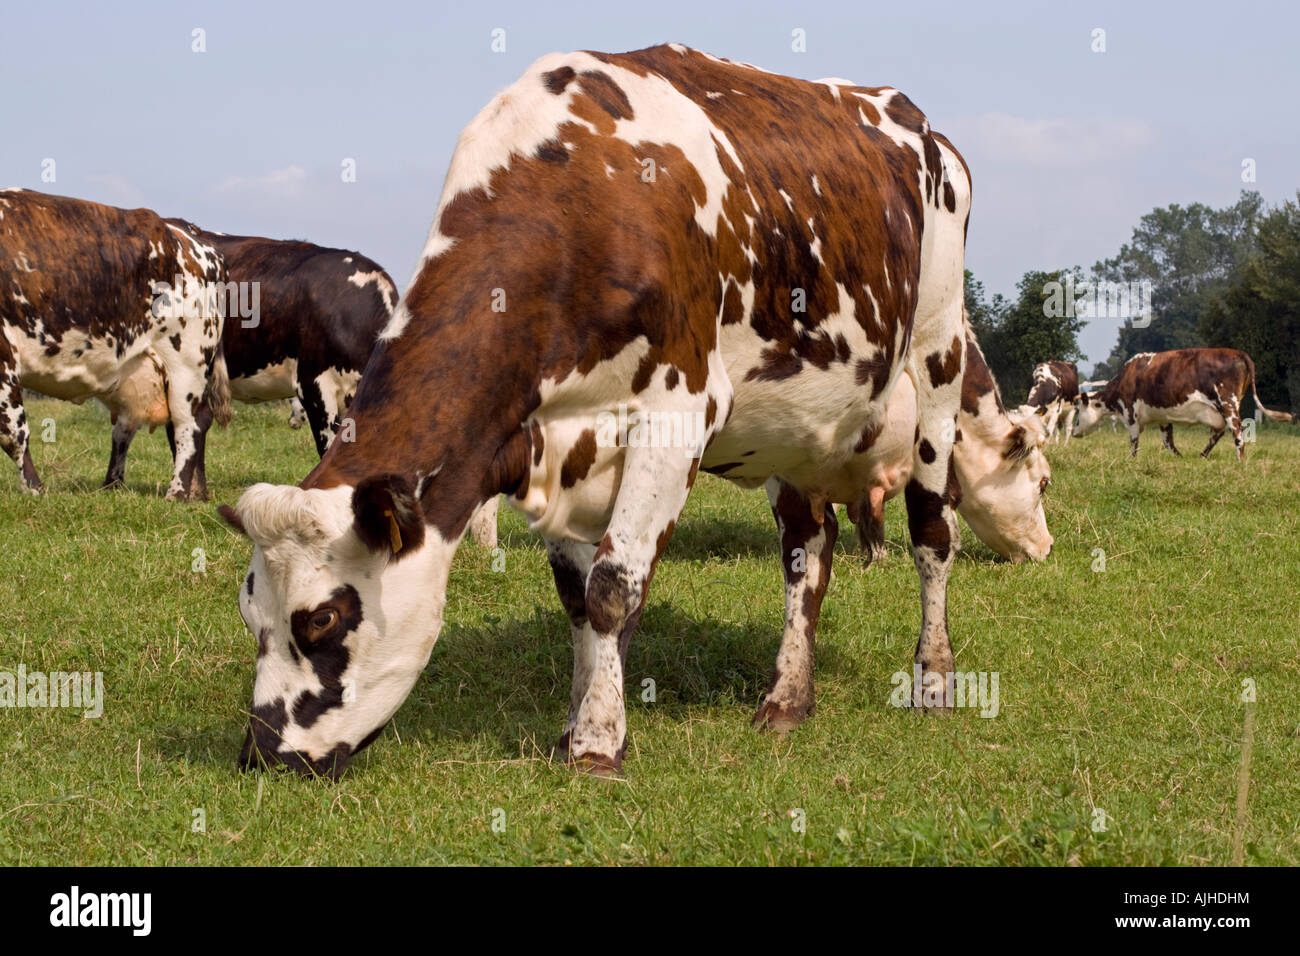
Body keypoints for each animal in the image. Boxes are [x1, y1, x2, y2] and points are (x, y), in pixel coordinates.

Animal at [0, 189, 230, 500]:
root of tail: (192, 236)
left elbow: (13, 431)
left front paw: (34, 489)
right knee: (148, 426)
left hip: (187, 361)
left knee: (190, 422)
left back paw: (178, 491)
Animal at [219, 44, 977, 777]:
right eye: (250, 614)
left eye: (321, 620)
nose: (264, 755)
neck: (583, 203)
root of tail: (921, 125)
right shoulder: (548, 443)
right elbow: (577, 597)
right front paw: (574, 722)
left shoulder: (679, 411)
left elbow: (613, 587)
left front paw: (597, 743)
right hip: (791, 425)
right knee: (806, 547)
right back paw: (788, 695)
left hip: (938, 354)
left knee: (932, 531)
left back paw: (933, 678)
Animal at [1073, 348, 1293, 460]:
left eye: (1077, 413)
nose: (1074, 431)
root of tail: (1237, 353)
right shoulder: (1163, 418)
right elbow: (1168, 442)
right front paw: (1180, 457)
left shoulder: (1130, 413)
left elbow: (1134, 442)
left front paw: (1132, 461)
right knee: (1218, 433)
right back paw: (1201, 455)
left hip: (1227, 403)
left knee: (1238, 432)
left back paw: (1240, 462)